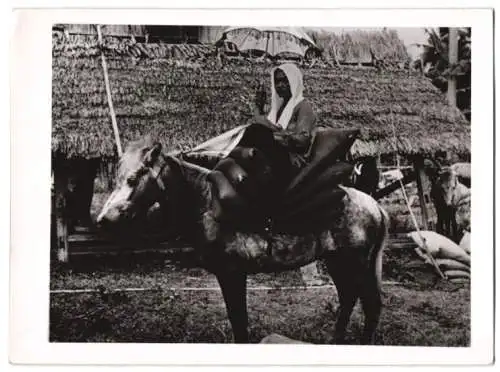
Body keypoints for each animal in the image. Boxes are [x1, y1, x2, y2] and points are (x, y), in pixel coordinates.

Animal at [96, 138, 390, 344]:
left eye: (133, 178)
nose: (103, 220)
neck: (207, 203)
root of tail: (374, 205)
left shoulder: (232, 274)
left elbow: (239, 322)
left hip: (354, 263)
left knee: (370, 304)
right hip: (337, 261)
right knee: (349, 298)